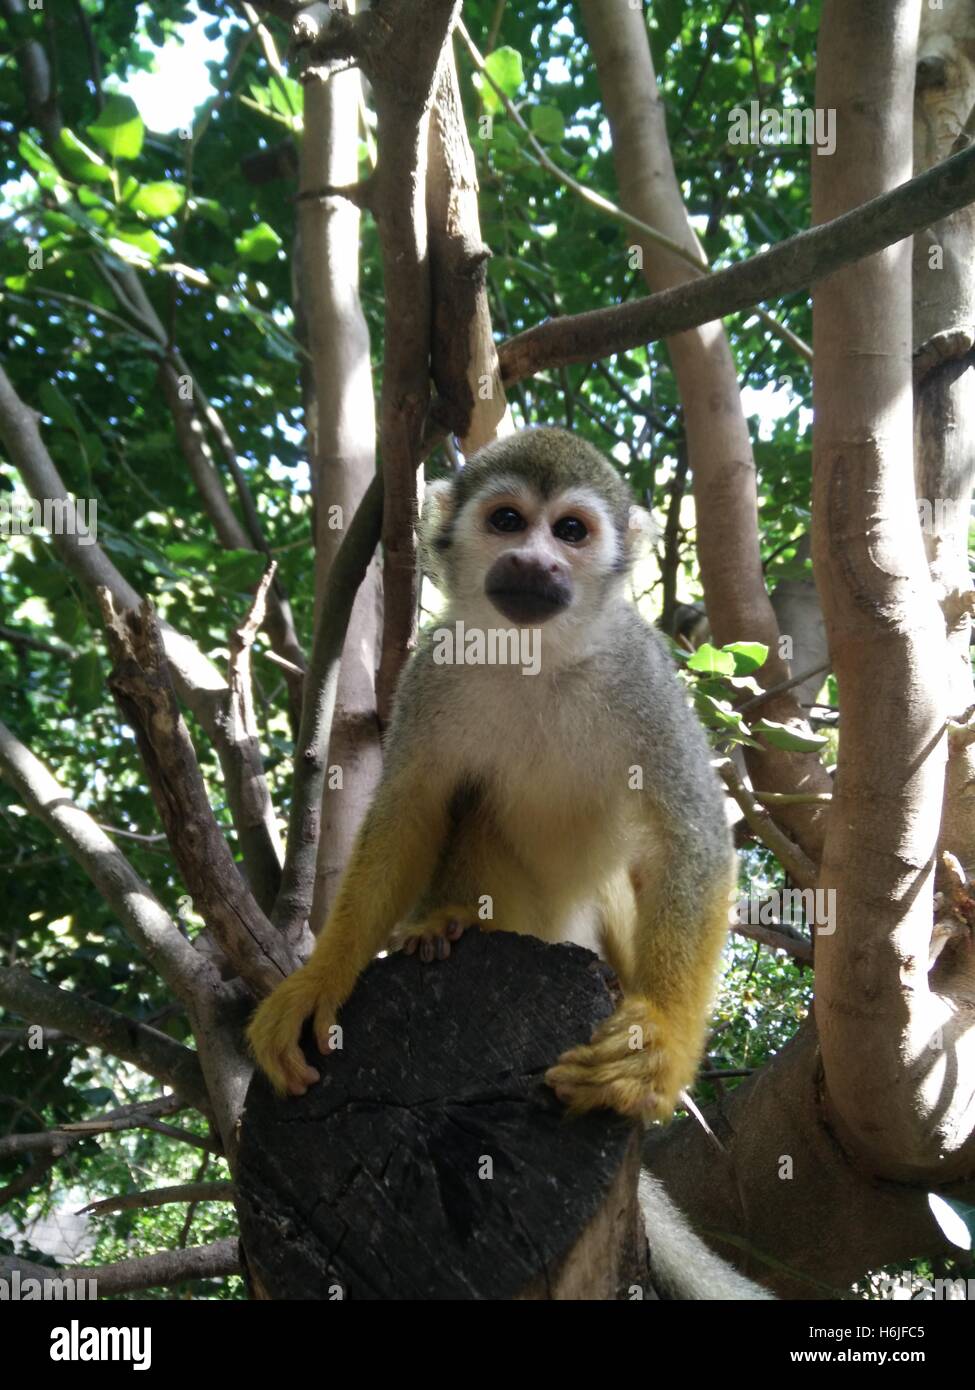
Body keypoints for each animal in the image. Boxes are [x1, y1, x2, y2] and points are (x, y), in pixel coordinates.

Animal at [247, 426, 737, 1128]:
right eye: (507, 521)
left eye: (570, 530)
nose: (534, 562)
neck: (534, 655)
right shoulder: (432, 671)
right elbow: (410, 811)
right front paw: (320, 977)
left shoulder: (641, 672)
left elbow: (690, 836)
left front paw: (658, 1043)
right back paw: (450, 922)